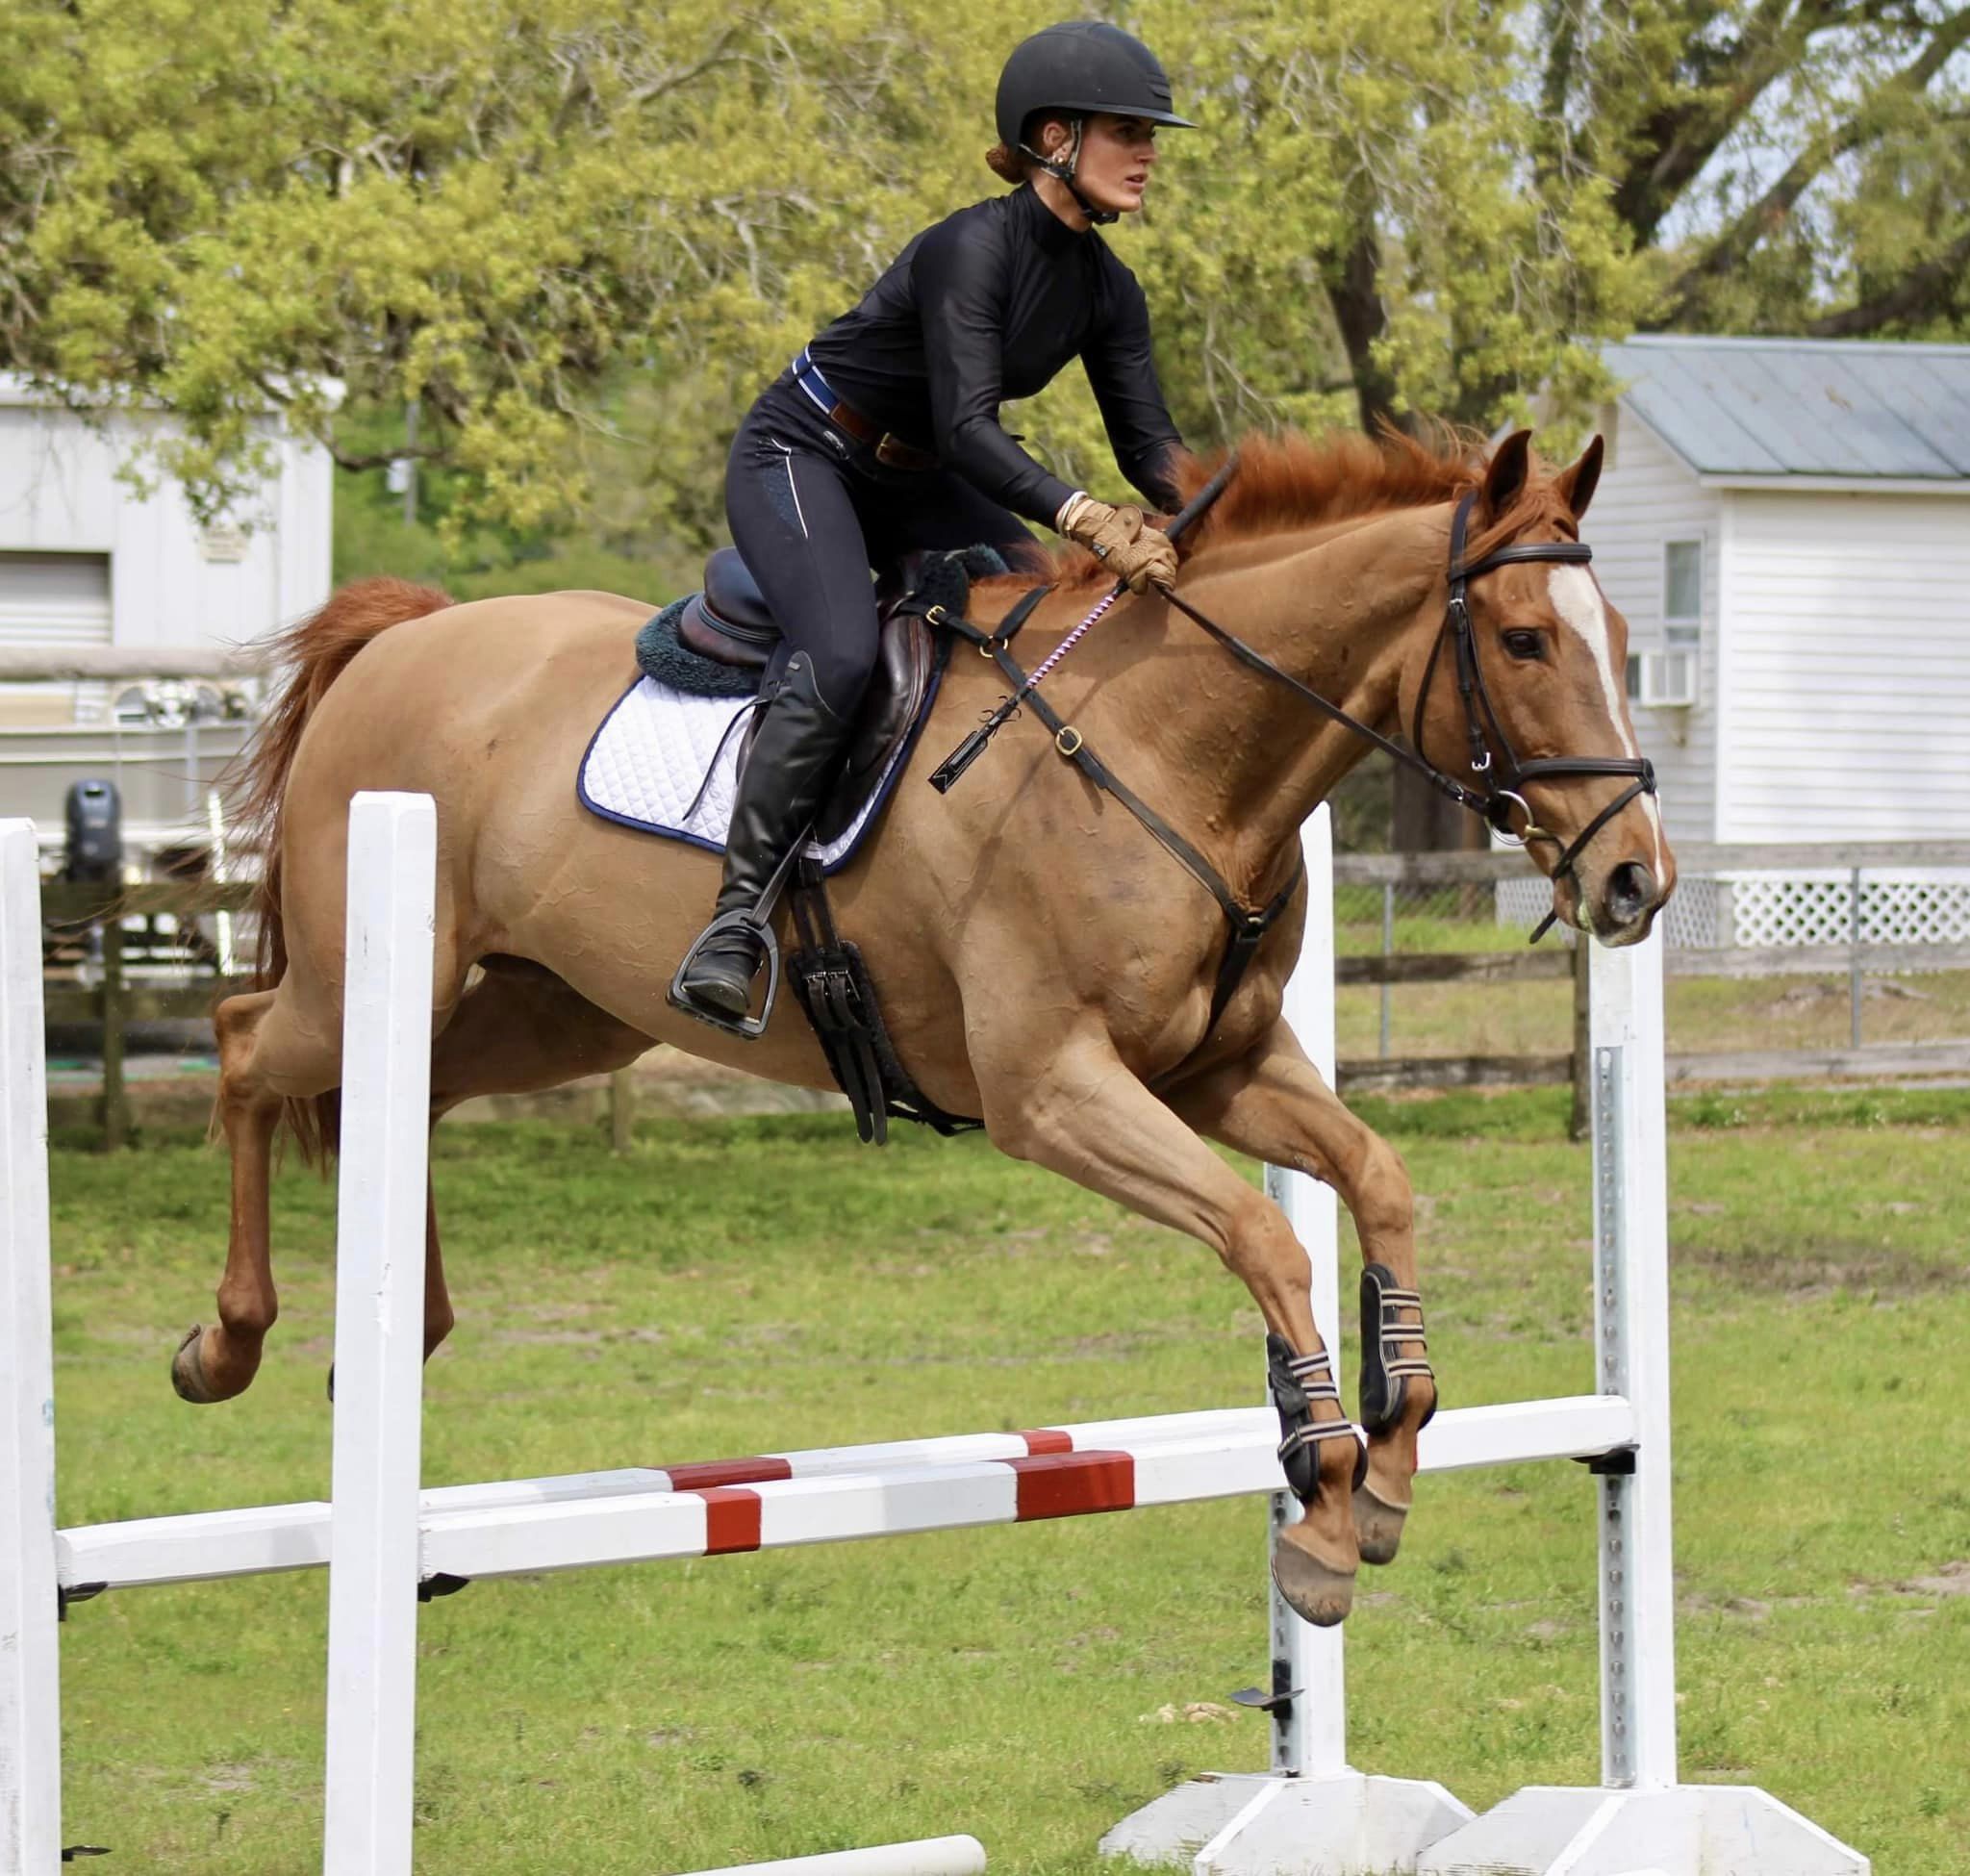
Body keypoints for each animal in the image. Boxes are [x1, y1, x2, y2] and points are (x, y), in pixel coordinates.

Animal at [173, 425, 1673, 1629]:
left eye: (1625, 643)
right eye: (1527, 640)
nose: (1633, 880)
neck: (1170, 742)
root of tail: (406, 633)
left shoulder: (1220, 1069)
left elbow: (1376, 1177)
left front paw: (1394, 1449)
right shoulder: (1052, 1091)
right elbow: (1262, 1236)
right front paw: (1320, 1491)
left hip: (562, 1011)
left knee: (408, 1092)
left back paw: (402, 1335)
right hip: (368, 980)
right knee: (243, 1042)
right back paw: (229, 1342)